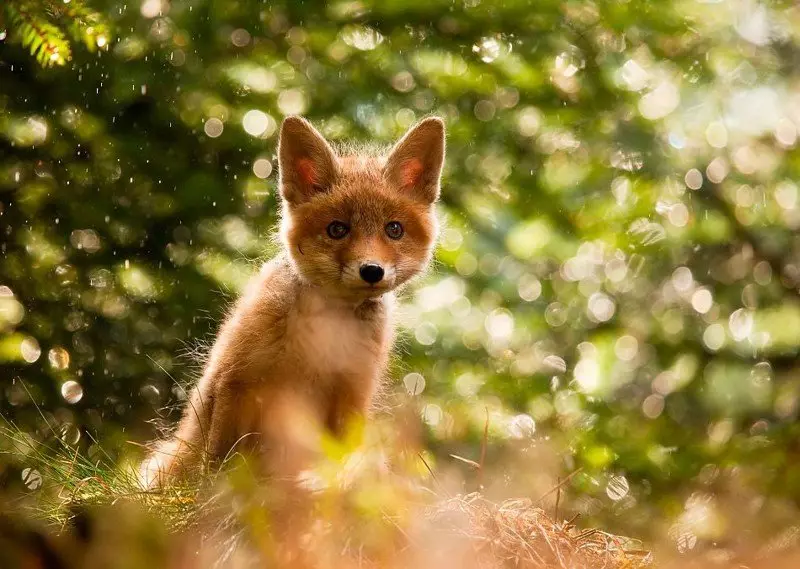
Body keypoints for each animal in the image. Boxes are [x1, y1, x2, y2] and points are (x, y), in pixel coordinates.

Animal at [141, 115, 446, 488]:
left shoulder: (352, 394)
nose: (372, 271)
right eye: (337, 230)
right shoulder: (235, 379)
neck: (324, 333)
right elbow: (218, 462)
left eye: (394, 230)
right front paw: (213, 493)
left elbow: (340, 462)